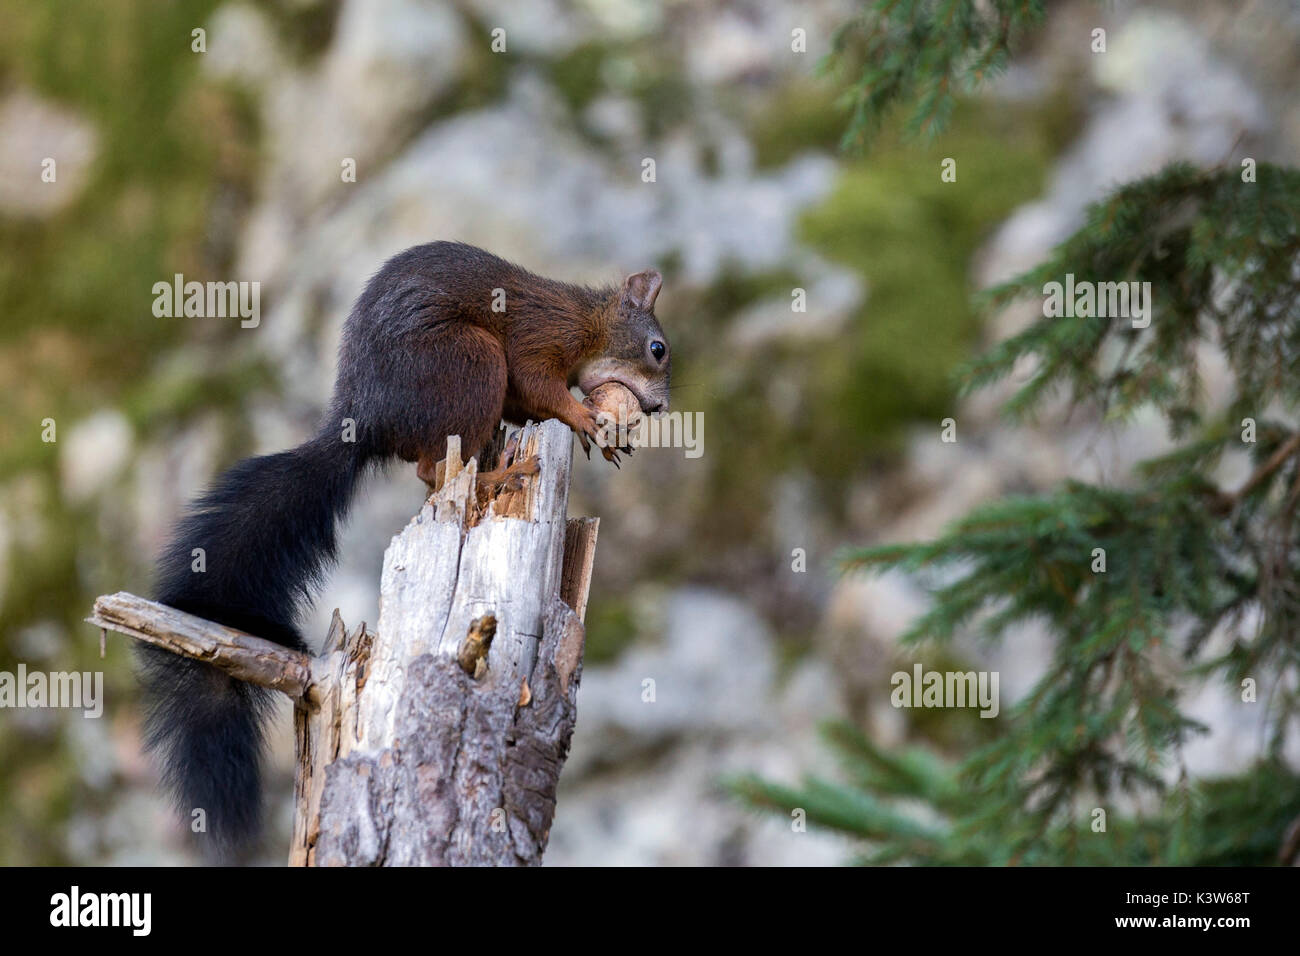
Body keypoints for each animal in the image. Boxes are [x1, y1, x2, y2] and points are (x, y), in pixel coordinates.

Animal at [139, 240, 670, 857]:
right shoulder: (540, 336)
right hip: (469, 360)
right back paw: (501, 474)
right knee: (432, 469)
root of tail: (366, 420)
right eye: (657, 349)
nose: (659, 409)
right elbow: (539, 384)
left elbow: (527, 405)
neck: (590, 322)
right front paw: (586, 416)